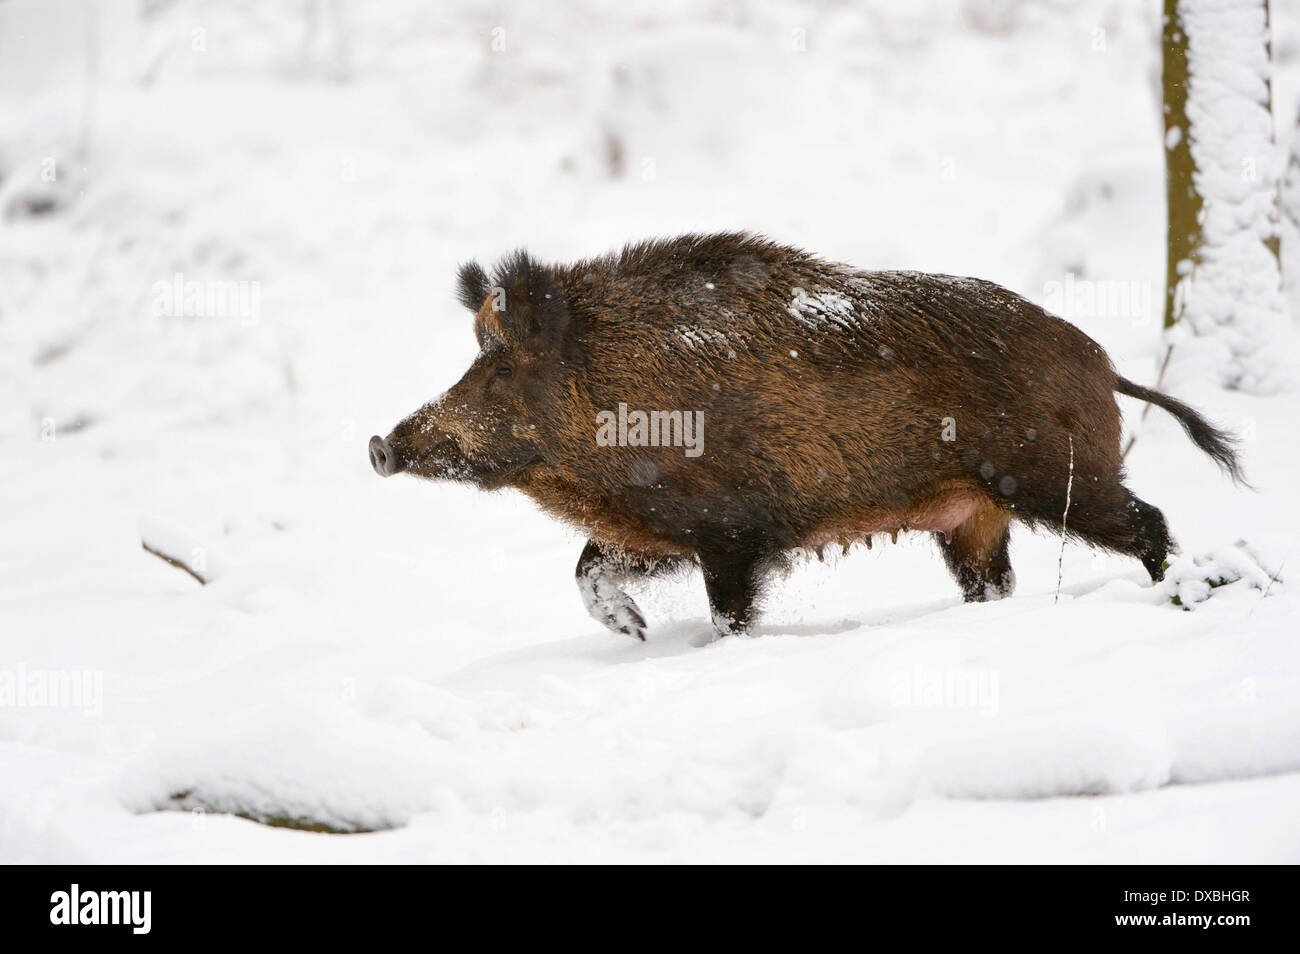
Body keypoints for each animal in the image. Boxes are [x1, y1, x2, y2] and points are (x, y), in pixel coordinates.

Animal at [369, 232, 1242, 639]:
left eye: (498, 369)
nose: (381, 445)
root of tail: (1105, 363)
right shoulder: (659, 530)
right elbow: (586, 566)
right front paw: (635, 631)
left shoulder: (734, 532)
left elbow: (727, 615)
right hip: (973, 520)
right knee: (995, 583)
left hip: (1052, 476)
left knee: (1148, 521)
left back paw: (1182, 588)